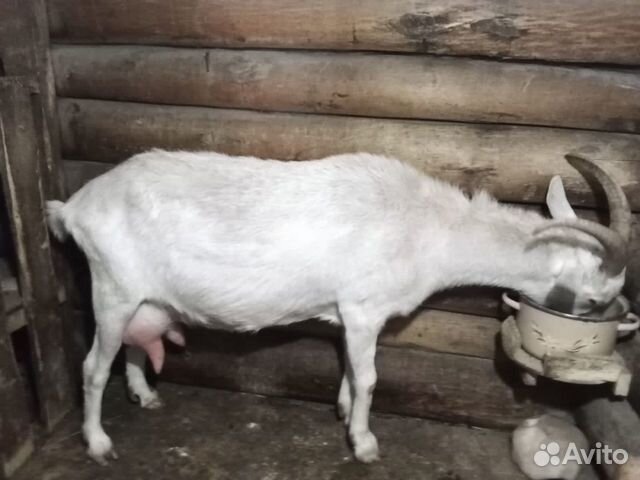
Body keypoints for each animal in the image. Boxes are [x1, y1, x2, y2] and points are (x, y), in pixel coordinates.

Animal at [47, 150, 630, 464]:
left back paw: (146, 396)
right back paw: (99, 443)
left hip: (144, 297)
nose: (619, 312)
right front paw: (365, 442)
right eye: (596, 297)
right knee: (92, 367)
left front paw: (345, 412)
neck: (428, 228)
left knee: (132, 347)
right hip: (113, 287)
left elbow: (351, 369)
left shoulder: (348, 315)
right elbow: (369, 376)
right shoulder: (363, 308)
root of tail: (73, 206)